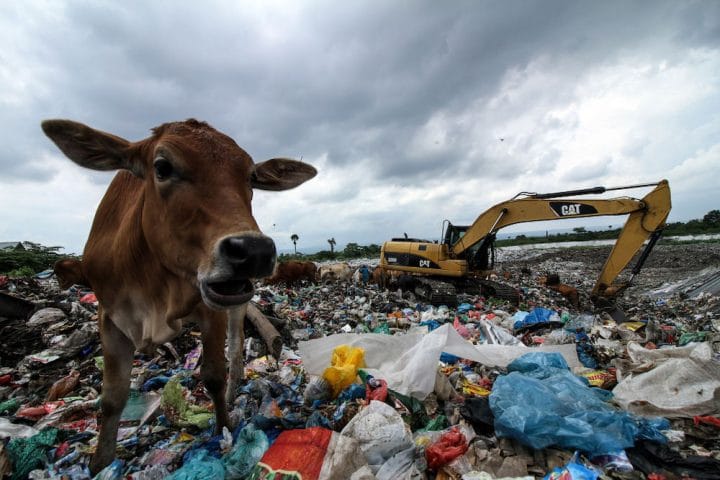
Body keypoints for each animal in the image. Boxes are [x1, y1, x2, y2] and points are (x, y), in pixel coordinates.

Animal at [40, 117, 316, 472]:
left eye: (251, 177)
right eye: (162, 166)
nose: (253, 251)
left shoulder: (211, 307)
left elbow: (213, 375)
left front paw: (223, 430)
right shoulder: (109, 316)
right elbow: (112, 398)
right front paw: (101, 464)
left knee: (236, 344)